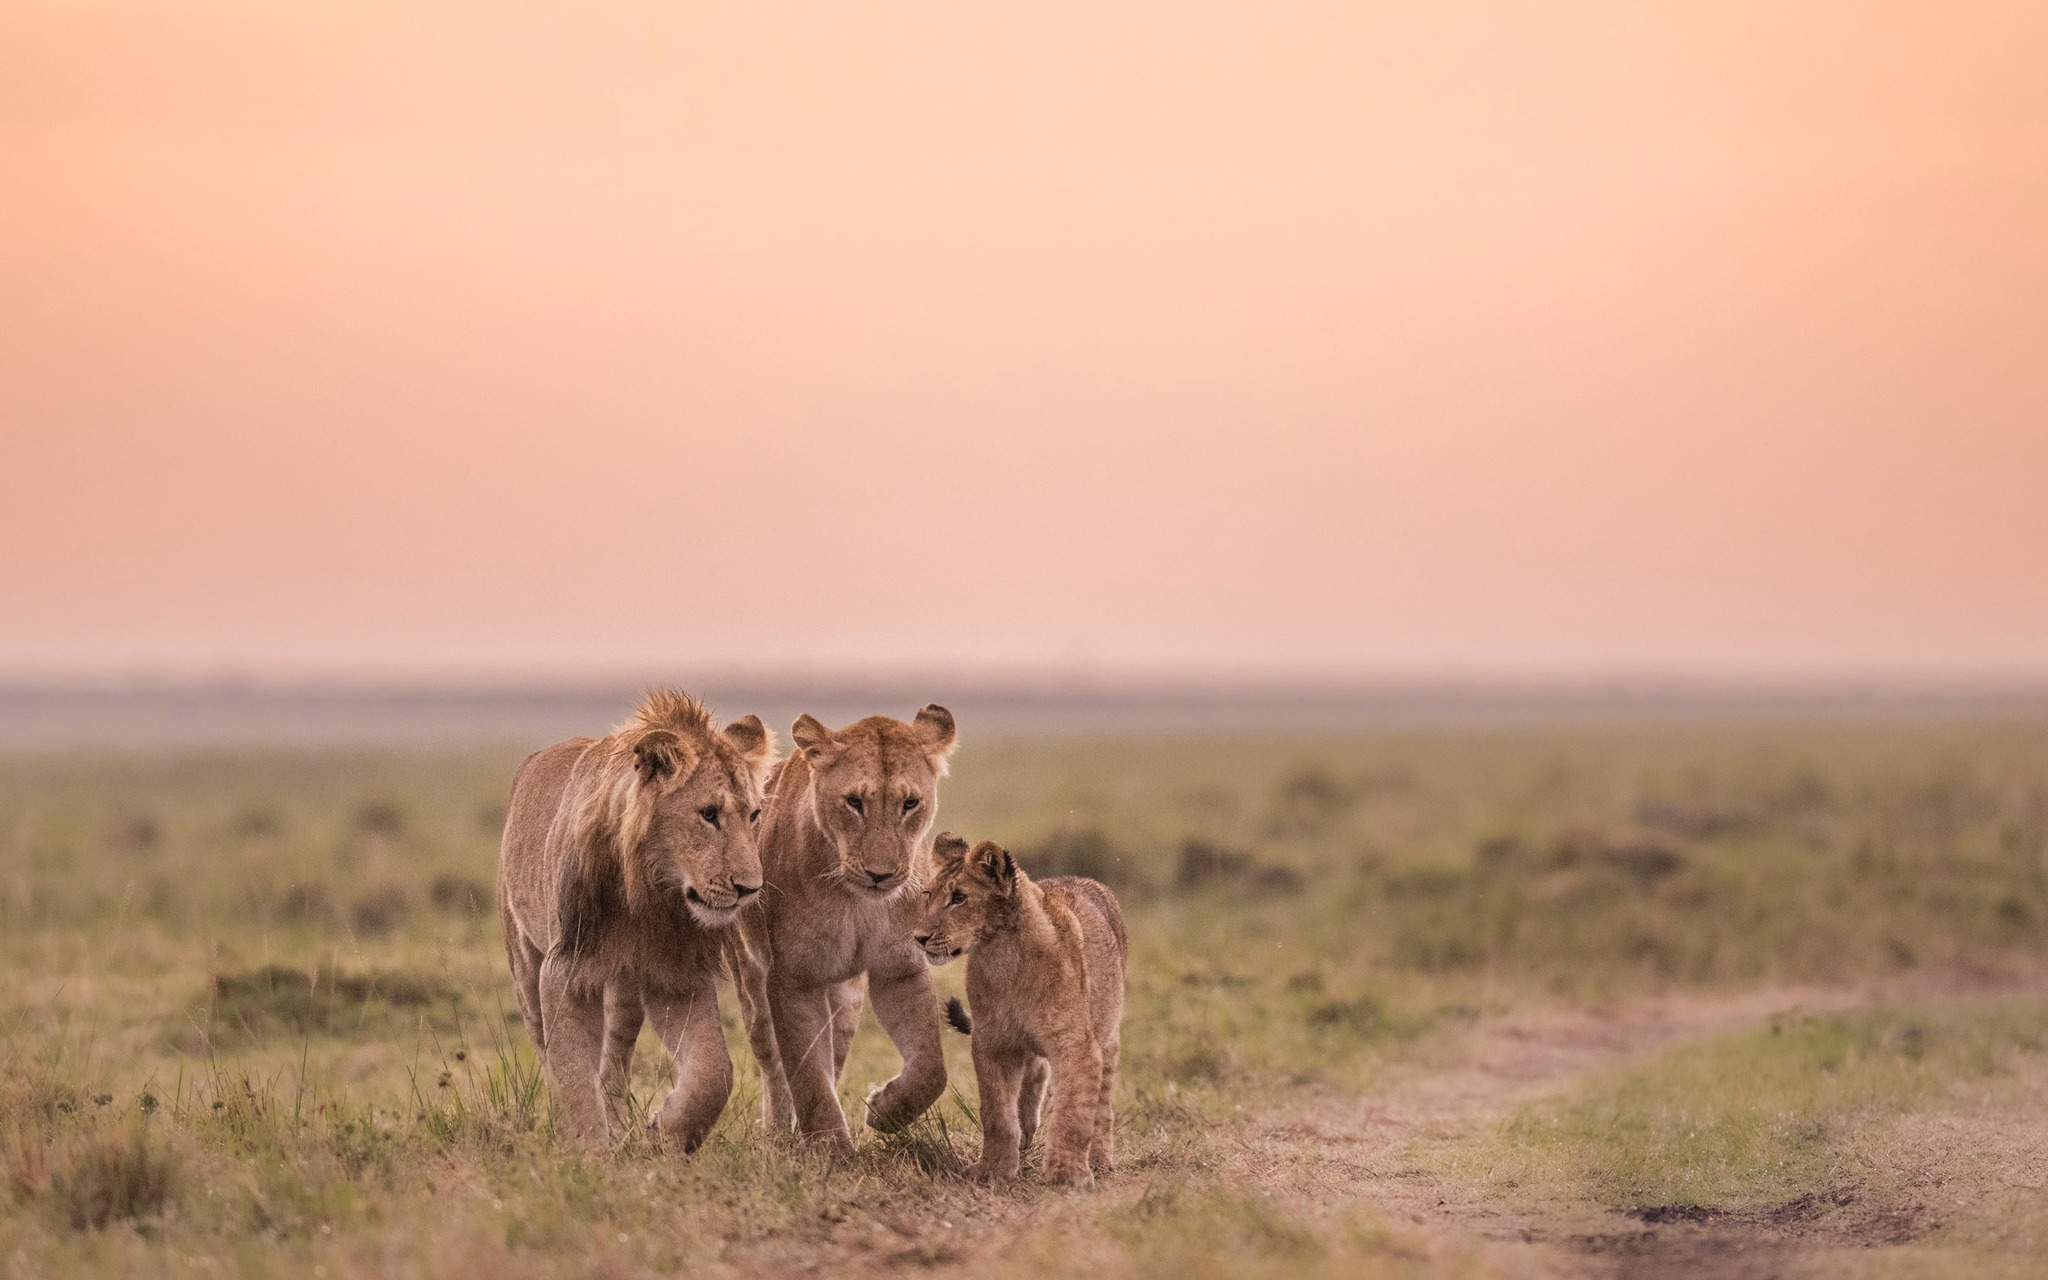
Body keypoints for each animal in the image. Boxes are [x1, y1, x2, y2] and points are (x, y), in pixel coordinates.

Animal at [497, 689, 773, 1148]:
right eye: (708, 814)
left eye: (753, 815)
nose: (749, 888)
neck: (650, 892)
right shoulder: (563, 969)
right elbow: (572, 1074)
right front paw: (588, 1151)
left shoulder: (675, 975)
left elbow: (714, 1073)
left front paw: (665, 1136)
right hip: (523, 962)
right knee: (547, 1049)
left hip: (625, 990)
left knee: (614, 1061)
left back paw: (622, 1125)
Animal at [727, 705, 958, 1154]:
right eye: (854, 802)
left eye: (910, 803)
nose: (879, 875)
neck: (858, 904)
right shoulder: (793, 978)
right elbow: (806, 1075)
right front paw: (831, 1148)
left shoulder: (900, 969)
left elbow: (931, 1067)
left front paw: (884, 1110)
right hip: (750, 978)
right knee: (773, 1062)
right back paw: (778, 1134)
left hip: (847, 1002)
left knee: (834, 1052)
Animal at [915, 834, 1127, 1187]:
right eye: (928, 895)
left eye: (959, 898)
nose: (919, 937)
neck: (1002, 956)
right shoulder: (994, 1043)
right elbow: (997, 1114)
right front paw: (993, 1170)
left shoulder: (1076, 1045)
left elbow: (1074, 1112)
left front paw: (1068, 1174)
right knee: (1034, 1072)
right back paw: (1026, 1130)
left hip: (1107, 1034)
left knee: (1102, 1104)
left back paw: (1099, 1160)